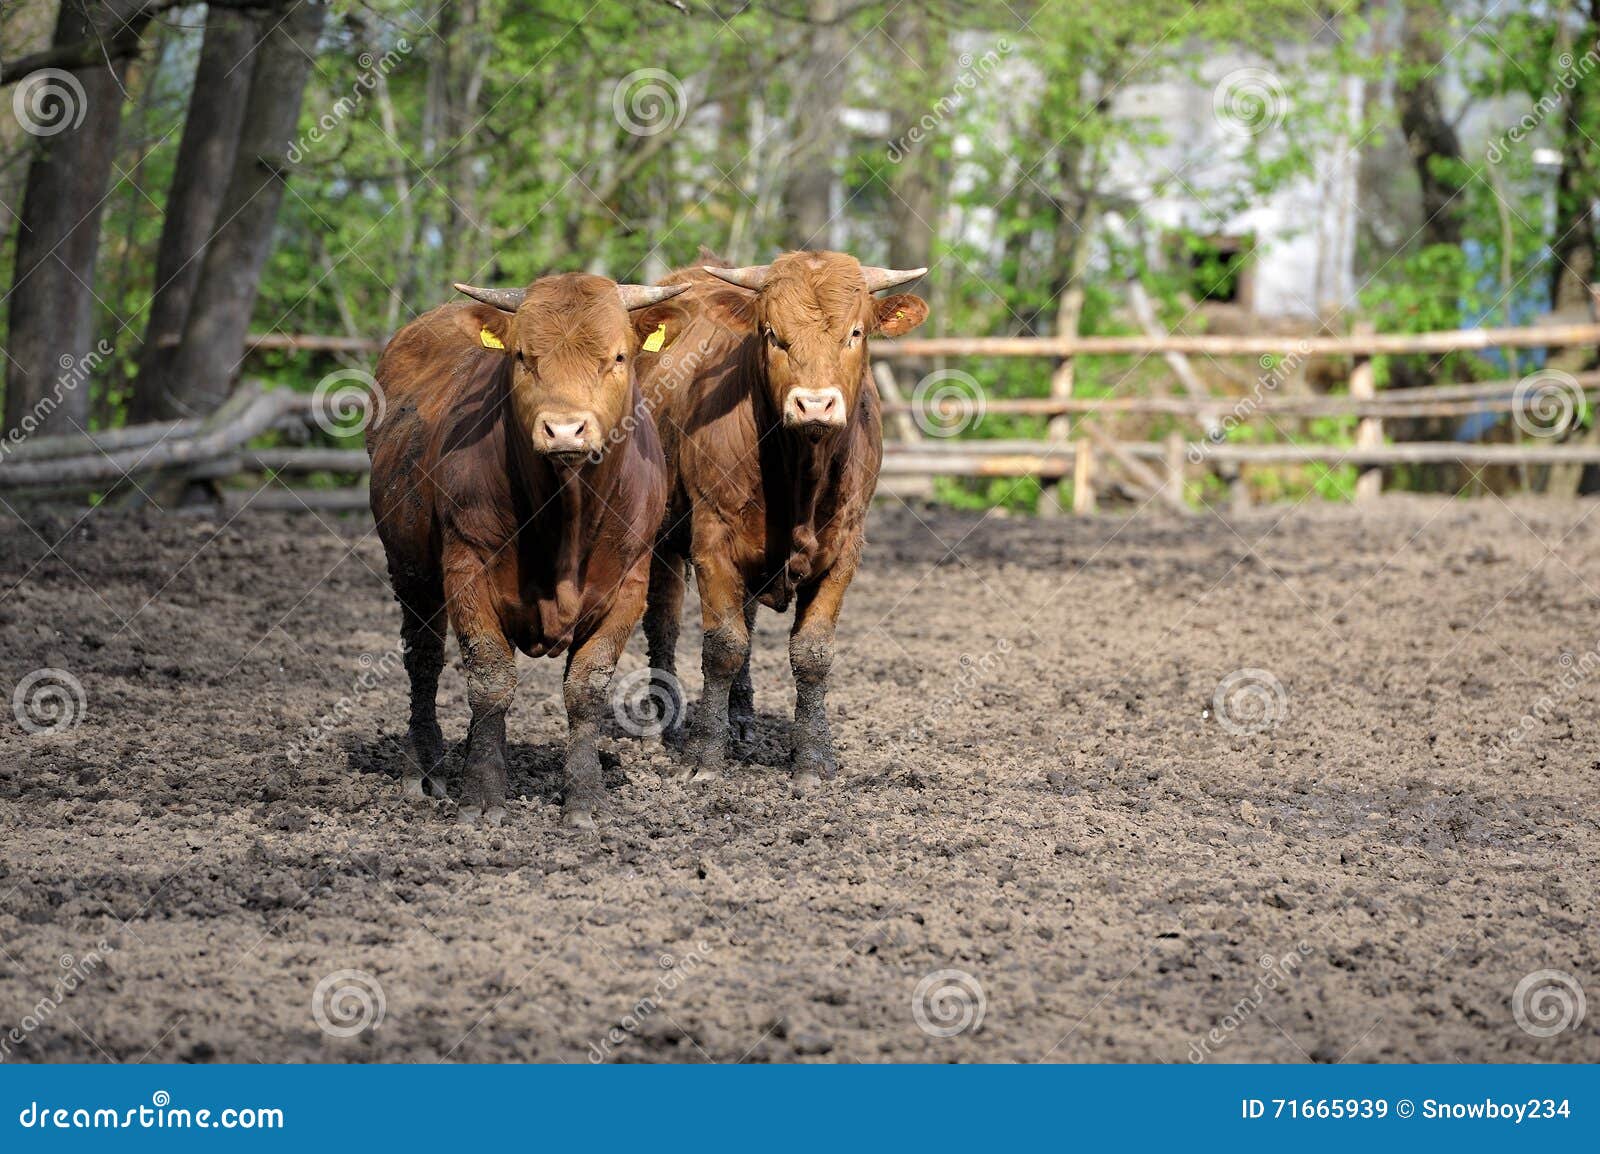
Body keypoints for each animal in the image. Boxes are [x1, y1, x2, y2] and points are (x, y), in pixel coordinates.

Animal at [367, 272, 687, 829]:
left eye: (618, 356)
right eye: (522, 356)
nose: (564, 429)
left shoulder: (629, 583)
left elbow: (587, 688)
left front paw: (584, 798)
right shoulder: (467, 567)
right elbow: (490, 680)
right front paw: (482, 794)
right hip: (411, 573)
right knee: (424, 662)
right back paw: (422, 769)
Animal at [634, 250, 929, 791]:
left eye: (856, 332)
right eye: (771, 333)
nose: (814, 403)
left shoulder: (845, 549)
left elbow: (811, 653)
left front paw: (812, 760)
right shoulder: (712, 540)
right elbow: (722, 647)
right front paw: (706, 756)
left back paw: (742, 719)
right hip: (658, 538)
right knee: (663, 624)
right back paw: (664, 722)